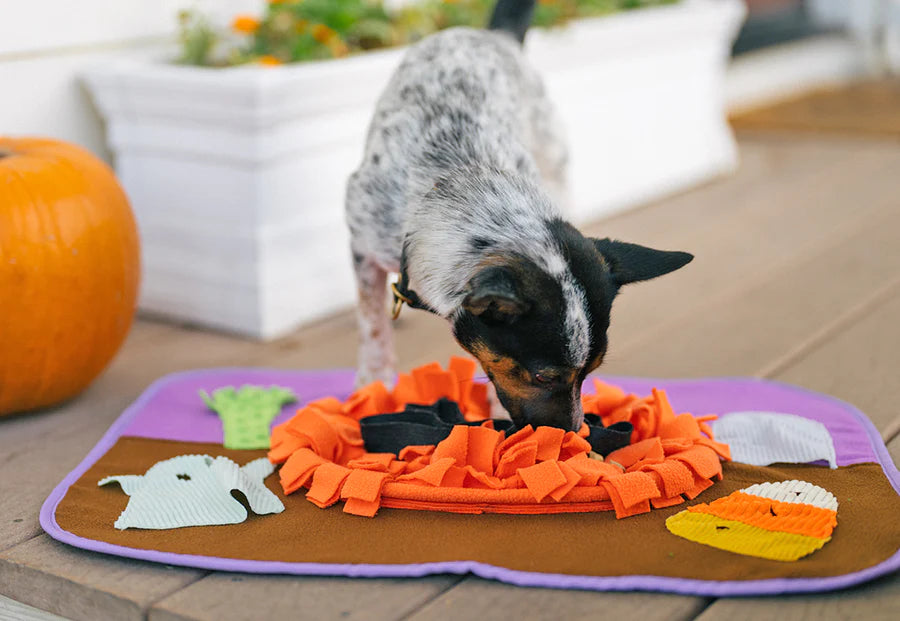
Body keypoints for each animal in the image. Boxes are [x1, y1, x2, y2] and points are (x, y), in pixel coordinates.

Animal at [344, 0, 688, 432]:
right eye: (543, 376)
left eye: (592, 371)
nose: (574, 433)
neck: (457, 175)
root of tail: (494, 37)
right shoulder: (363, 246)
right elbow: (372, 325)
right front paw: (372, 384)